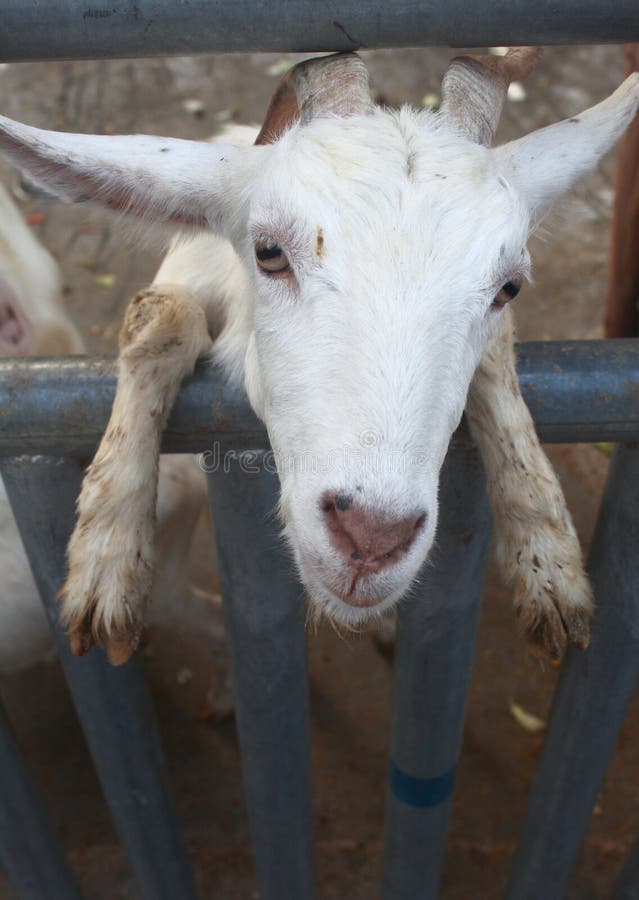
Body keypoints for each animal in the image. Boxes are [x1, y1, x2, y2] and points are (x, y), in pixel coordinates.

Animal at [0, 50, 636, 665]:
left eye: (509, 288)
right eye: (269, 252)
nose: (373, 537)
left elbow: (498, 357)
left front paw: (547, 557)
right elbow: (161, 312)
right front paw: (106, 557)